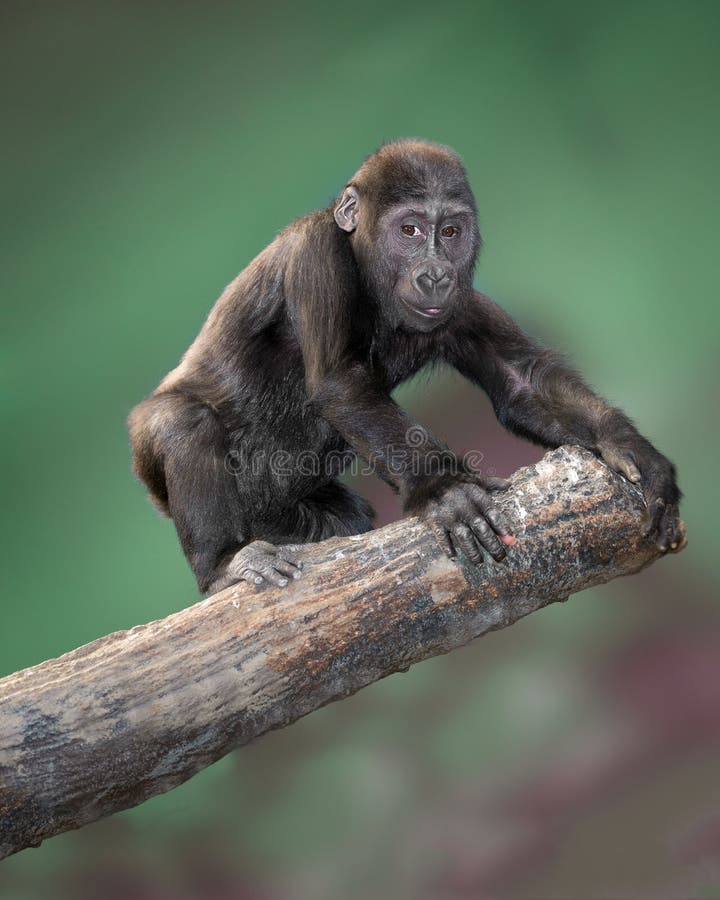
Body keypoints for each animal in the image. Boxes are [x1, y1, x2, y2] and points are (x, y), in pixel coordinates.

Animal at [128, 139, 682, 596]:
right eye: (410, 229)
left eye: (451, 232)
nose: (435, 274)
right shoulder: (316, 249)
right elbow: (341, 384)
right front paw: (444, 489)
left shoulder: (462, 299)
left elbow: (522, 383)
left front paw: (629, 446)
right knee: (181, 421)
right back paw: (222, 563)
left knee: (345, 518)